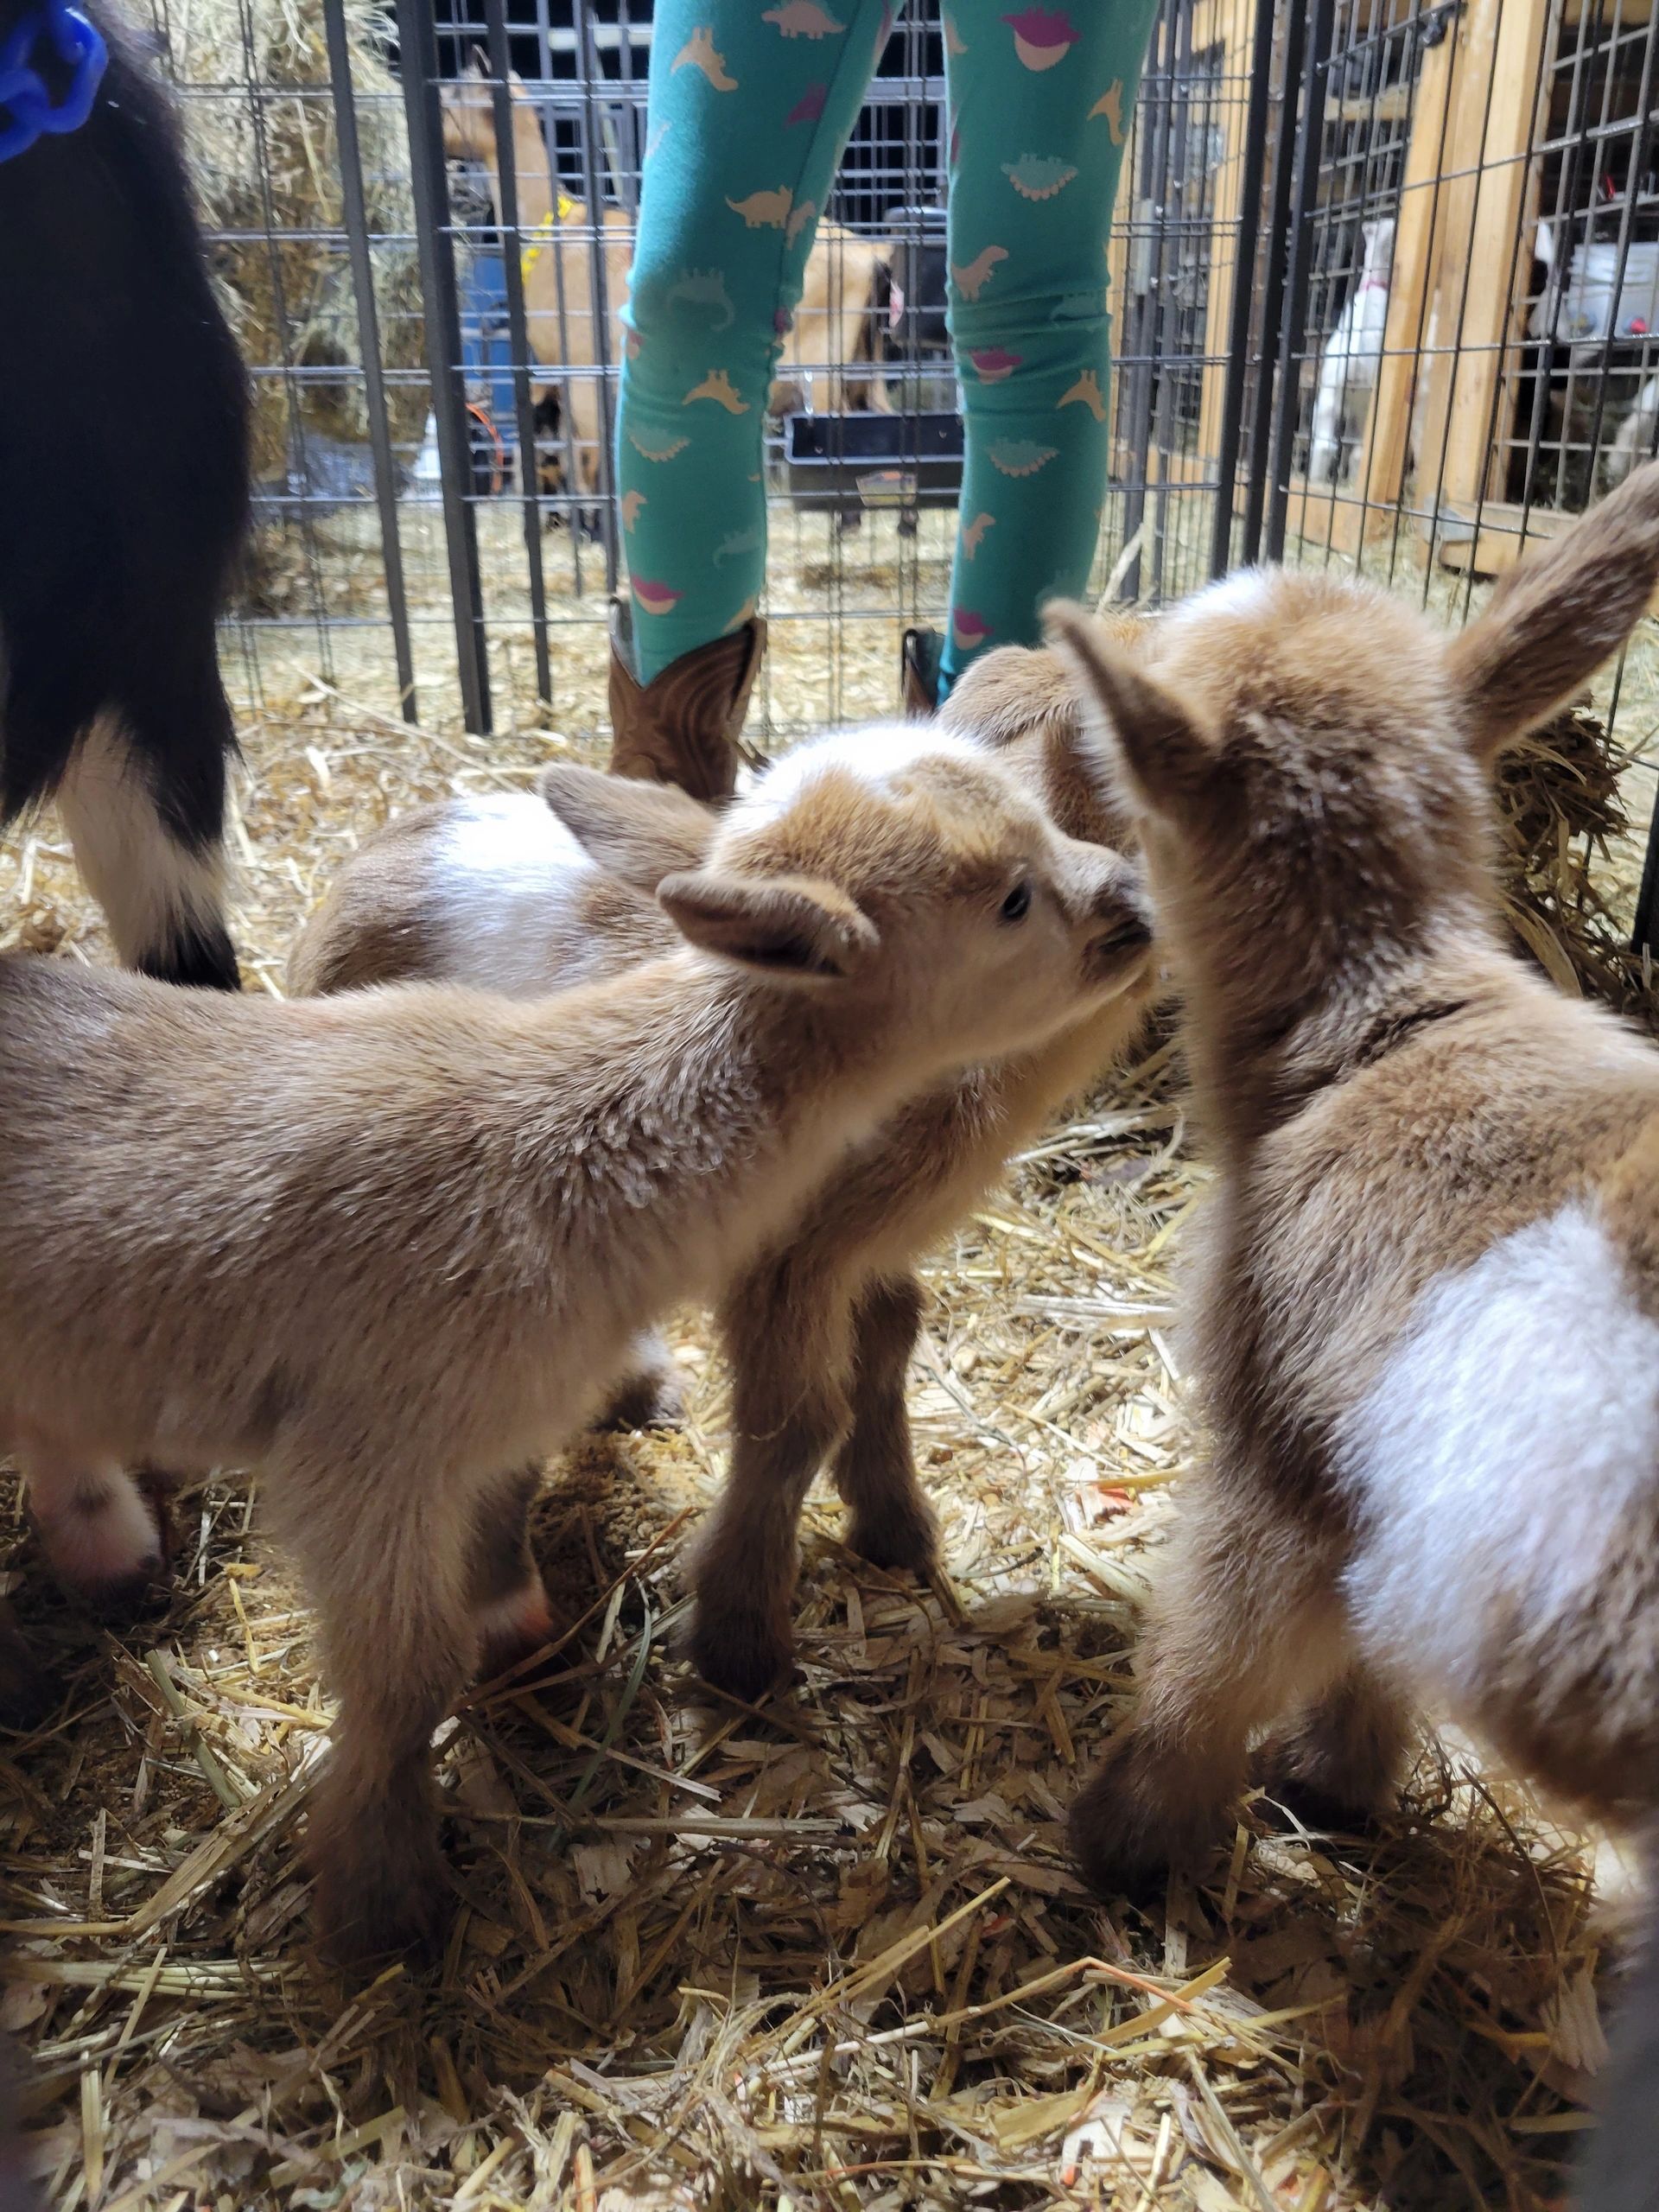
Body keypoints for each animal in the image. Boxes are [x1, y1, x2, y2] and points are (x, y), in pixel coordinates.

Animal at [288, 668, 1152, 1696]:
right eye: (1013, 900)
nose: (1133, 897)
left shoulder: (862, 1246)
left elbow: (889, 1343)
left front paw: (895, 1528)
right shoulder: (783, 1257)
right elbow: (797, 1418)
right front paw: (742, 1644)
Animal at [1046, 459, 1659, 2209]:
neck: (1381, 1031)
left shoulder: (1278, 1451)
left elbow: (1204, 1666)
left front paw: (1122, 1845)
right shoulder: (1381, 1495)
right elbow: (1369, 1666)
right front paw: (1339, 1793)